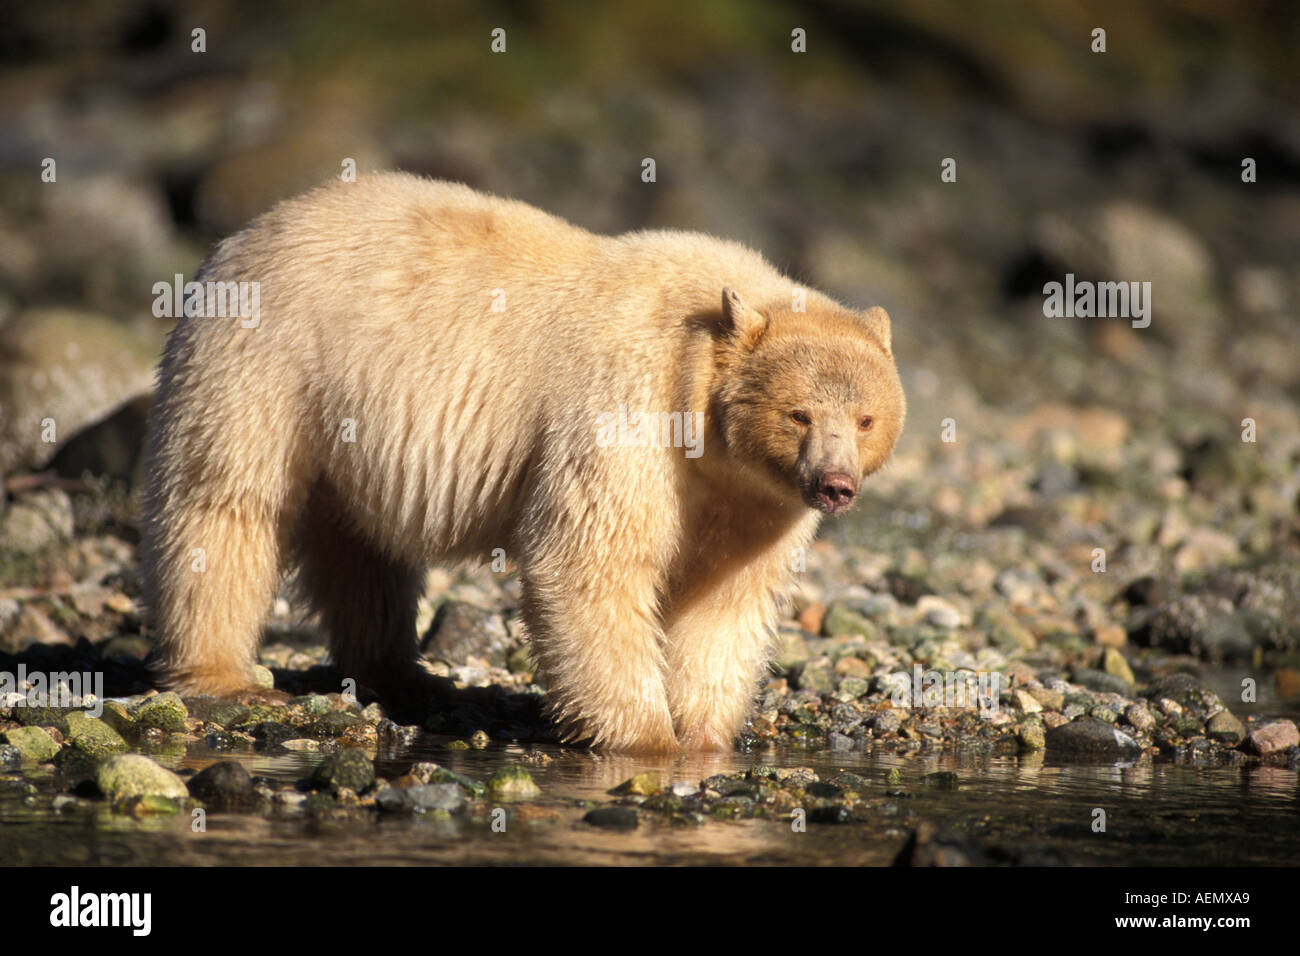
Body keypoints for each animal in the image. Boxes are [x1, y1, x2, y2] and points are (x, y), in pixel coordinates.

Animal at [140, 172, 905, 752]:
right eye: (799, 413)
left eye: (866, 418)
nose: (835, 486)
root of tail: (242, 235)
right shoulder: (626, 412)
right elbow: (590, 564)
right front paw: (646, 739)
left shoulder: (752, 499)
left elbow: (725, 598)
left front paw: (705, 736)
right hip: (268, 364)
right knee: (225, 509)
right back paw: (223, 676)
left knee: (361, 550)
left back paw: (402, 672)